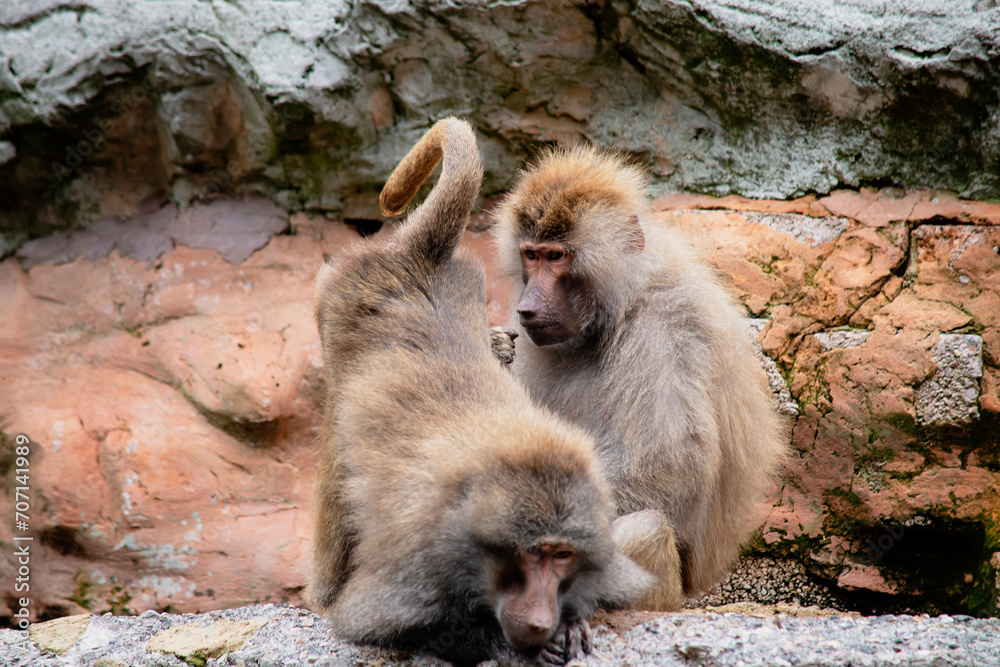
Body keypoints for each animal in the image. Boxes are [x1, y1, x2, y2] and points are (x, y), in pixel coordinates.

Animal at [307, 120, 652, 666]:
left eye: (562, 557)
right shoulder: (417, 561)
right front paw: (510, 641)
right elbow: (374, 622)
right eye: (530, 557)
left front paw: (571, 618)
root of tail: (417, 257)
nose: (539, 618)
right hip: (338, 308)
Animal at [492, 145, 787, 610]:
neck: (619, 307)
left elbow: (666, 468)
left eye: (556, 256)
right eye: (530, 254)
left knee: (643, 528)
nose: (527, 308)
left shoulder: (663, 334)